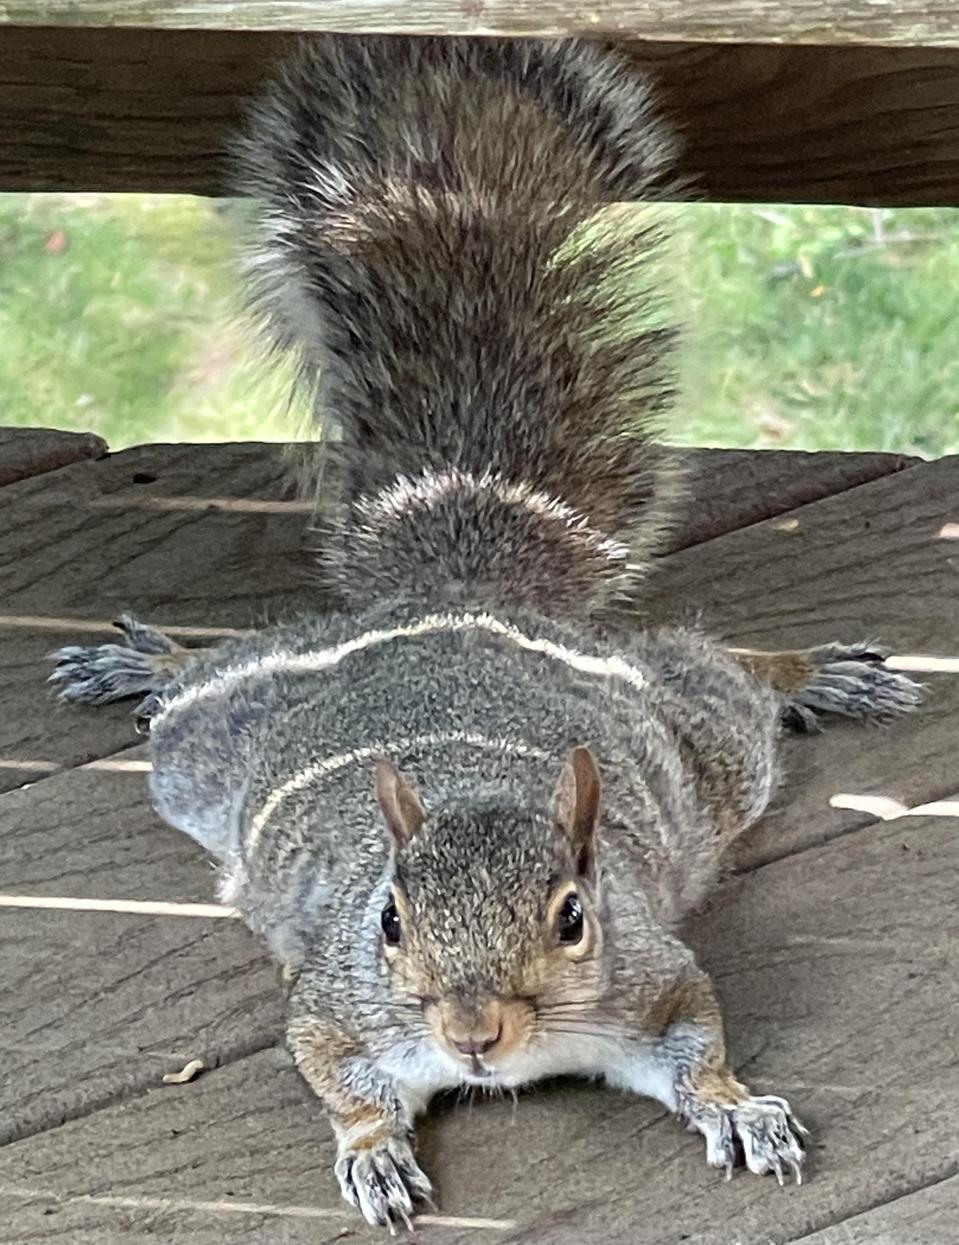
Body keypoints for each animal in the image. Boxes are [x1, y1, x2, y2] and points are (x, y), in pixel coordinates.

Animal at [49, 35, 922, 1232]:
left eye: (572, 917)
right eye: (389, 921)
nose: (473, 1036)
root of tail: (458, 594)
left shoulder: (653, 977)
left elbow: (700, 1042)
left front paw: (737, 1107)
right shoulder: (335, 1006)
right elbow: (337, 1078)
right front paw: (372, 1151)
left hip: (704, 745)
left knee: (714, 675)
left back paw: (809, 671)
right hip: (205, 746)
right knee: (210, 681)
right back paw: (152, 657)